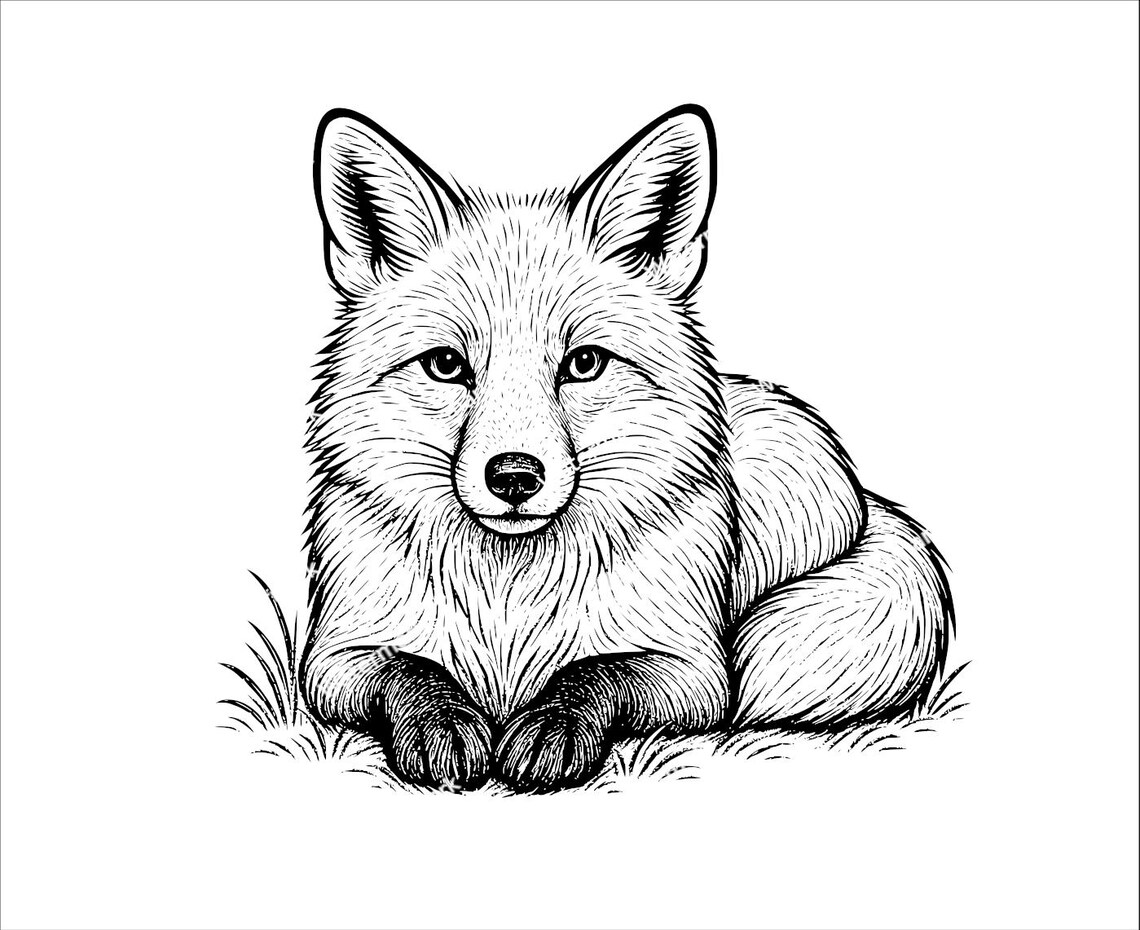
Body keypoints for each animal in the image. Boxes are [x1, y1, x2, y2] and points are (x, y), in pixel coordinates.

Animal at [300, 104, 954, 793]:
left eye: (584, 363)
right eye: (446, 365)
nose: (514, 477)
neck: (510, 597)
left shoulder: (692, 667)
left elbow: (599, 673)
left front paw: (551, 727)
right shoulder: (337, 657)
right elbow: (410, 673)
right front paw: (446, 724)